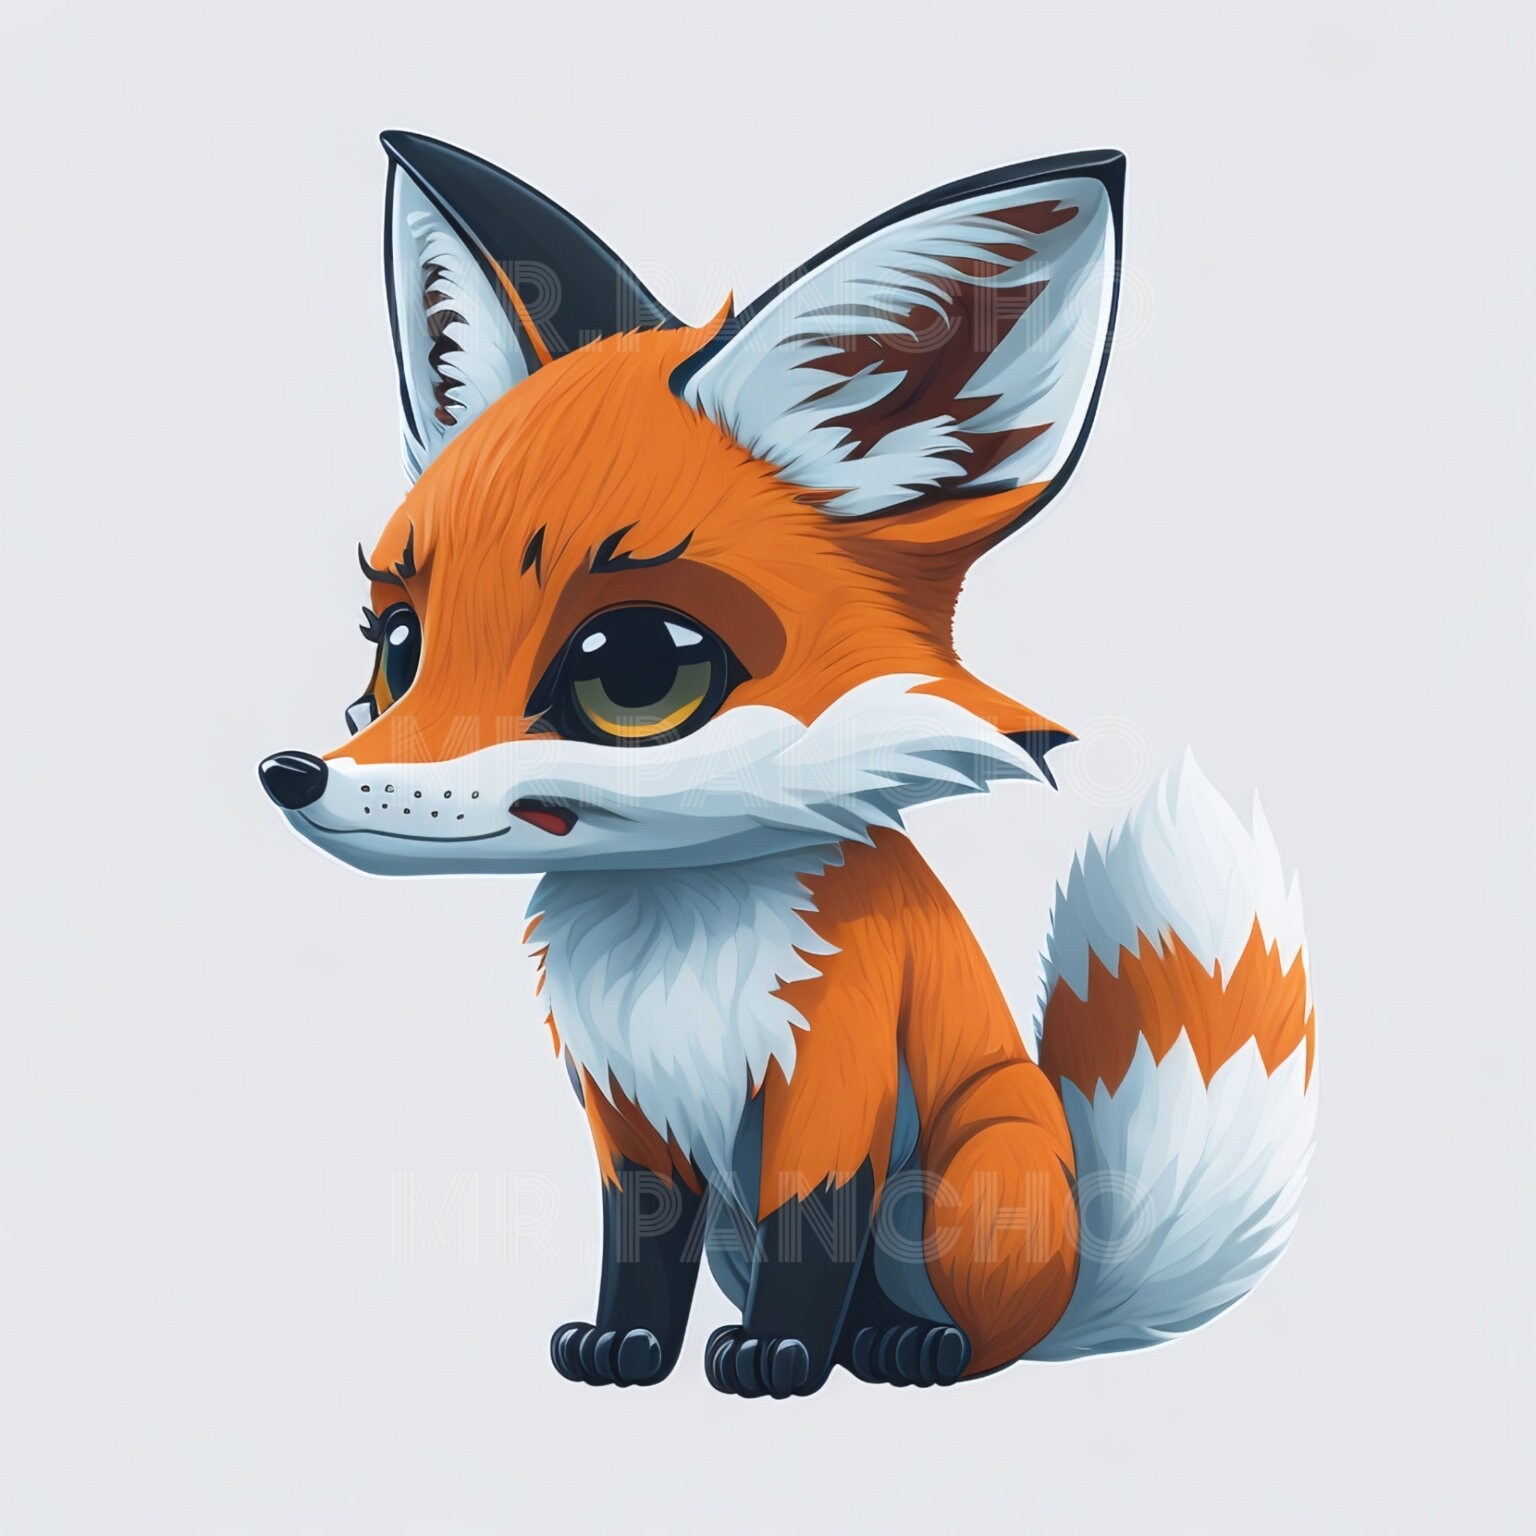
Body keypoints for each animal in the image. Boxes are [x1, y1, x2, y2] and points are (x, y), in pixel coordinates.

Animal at [260, 131, 1317, 1397]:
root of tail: (1078, 1285)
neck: (672, 945)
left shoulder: (835, 1067)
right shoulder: (624, 1104)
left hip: (975, 1176)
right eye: (397, 646)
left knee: (973, 1336)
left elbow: (813, 1227)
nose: (293, 778)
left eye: (635, 670)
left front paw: (777, 1356)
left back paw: (903, 1344)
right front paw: (623, 1348)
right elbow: (639, 1239)